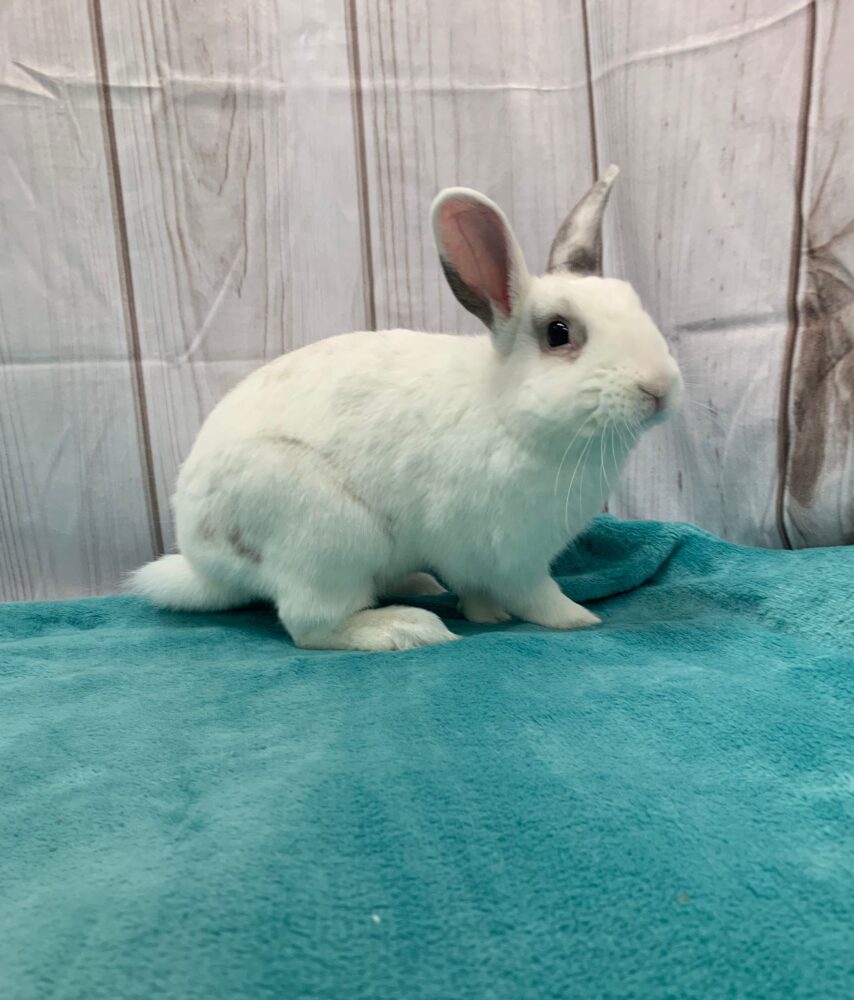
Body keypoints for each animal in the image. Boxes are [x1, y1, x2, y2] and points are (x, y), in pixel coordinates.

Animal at [131, 165, 682, 651]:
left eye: (634, 303)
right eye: (559, 333)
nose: (660, 387)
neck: (508, 414)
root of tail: (203, 561)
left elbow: (477, 590)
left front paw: (485, 613)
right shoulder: (513, 553)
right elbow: (535, 594)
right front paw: (577, 617)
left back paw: (419, 584)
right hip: (326, 540)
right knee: (309, 625)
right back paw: (404, 628)